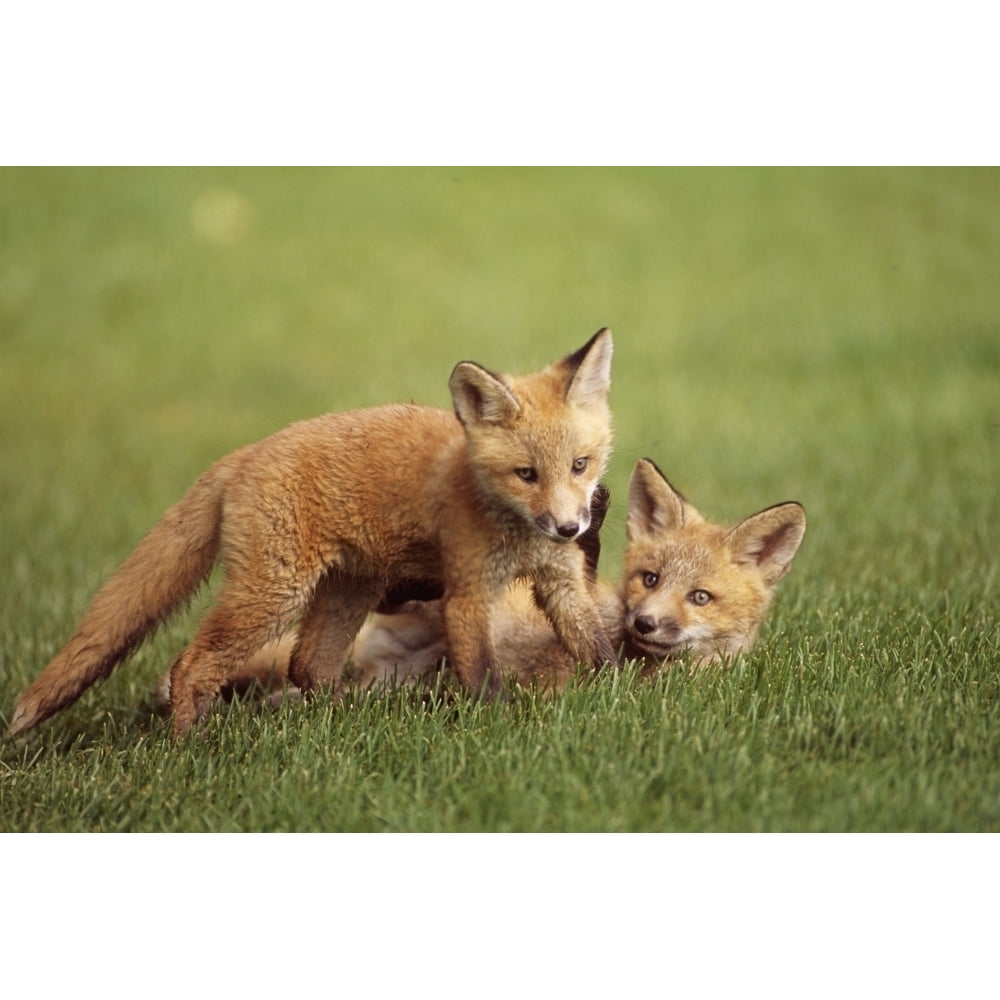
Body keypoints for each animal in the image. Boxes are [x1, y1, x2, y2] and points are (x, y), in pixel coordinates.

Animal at [6, 329, 617, 739]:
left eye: (580, 465)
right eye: (526, 474)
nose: (570, 526)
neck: (516, 531)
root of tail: (245, 453)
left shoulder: (561, 580)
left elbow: (596, 647)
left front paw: (621, 695)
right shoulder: (468, 592)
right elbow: (483, 674)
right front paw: (495, 723)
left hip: (349, 591)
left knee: (309, 667)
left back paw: (343, 717)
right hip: (275, 595)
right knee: (195, 663)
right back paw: (187, 741)